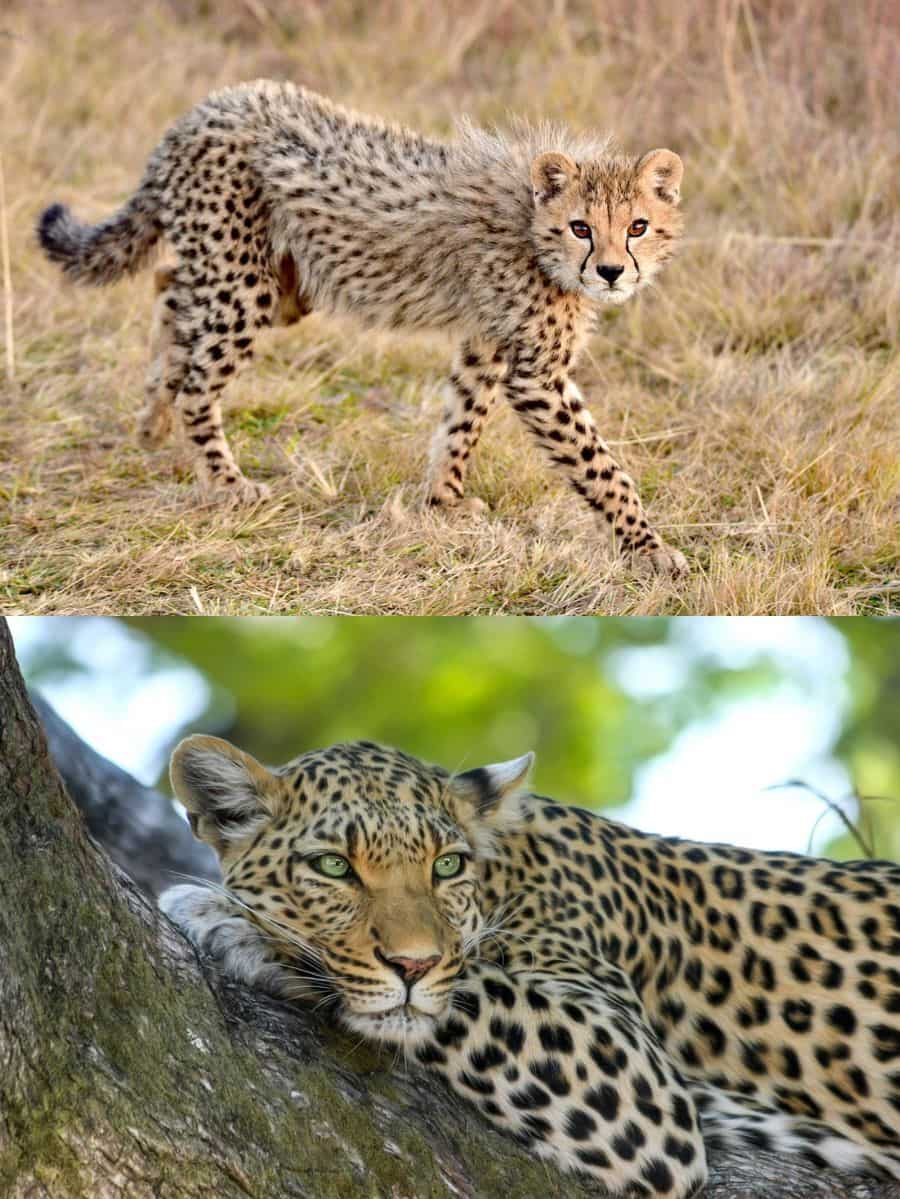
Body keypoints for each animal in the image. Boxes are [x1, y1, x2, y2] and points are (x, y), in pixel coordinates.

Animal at [37, 80, 688, 575]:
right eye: (582, 228)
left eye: (636, 226)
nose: (610, 272)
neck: (532, 227)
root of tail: (208, 108)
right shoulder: (536, 374)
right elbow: (601, 465)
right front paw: (649, 549)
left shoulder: (487, 342)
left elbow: (462, 419)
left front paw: (443, 502)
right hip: (245, 284)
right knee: (198, 375)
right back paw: (225, 481)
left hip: (271, 284)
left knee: (169, 287)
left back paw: (152, 419)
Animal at [158, 735, 900, 1197]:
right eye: (334, 866)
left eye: (446, 866)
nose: (412, 963)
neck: (508, 871)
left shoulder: (634, 1079)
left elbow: (467, 988)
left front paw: (232, 920)